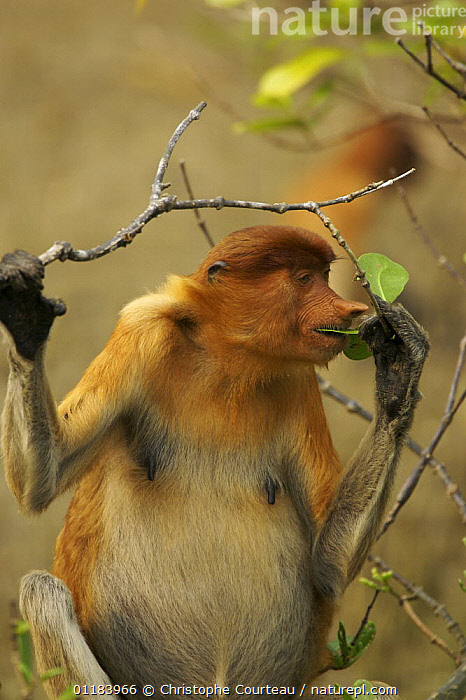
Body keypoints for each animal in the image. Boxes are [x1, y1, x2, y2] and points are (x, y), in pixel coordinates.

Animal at [0, 225, 428, 698]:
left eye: (323, 276)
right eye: (303, 279)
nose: (349, 308)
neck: (229, 360)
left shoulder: (299, 378)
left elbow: (328, 564)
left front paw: (399, 363)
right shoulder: (141, 331)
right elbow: (41, 480)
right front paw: (23, 317)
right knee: (40, 591)